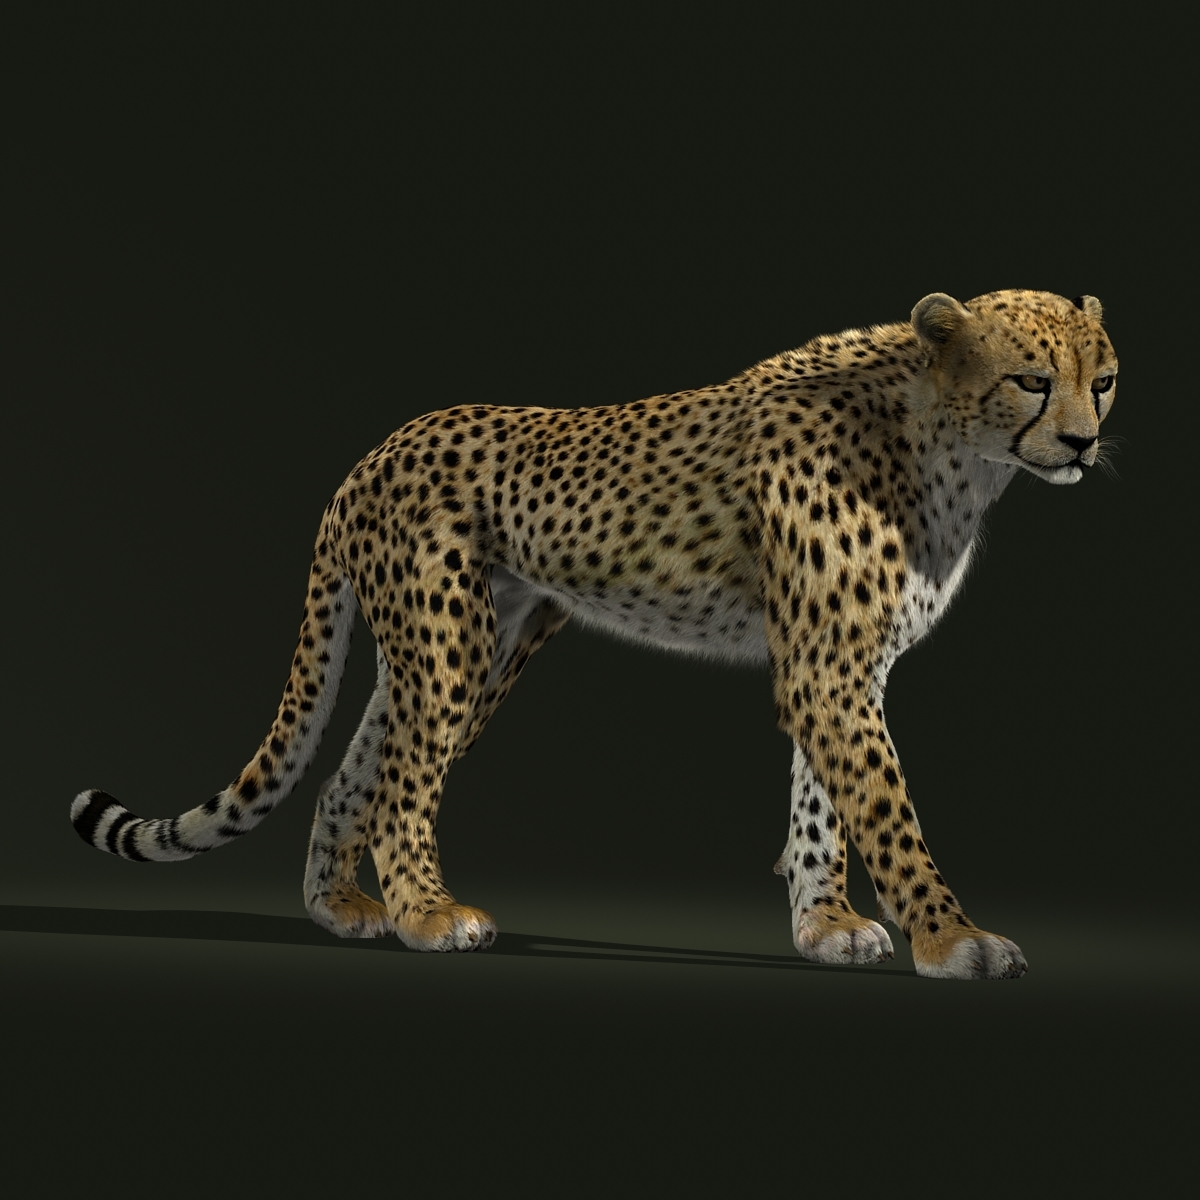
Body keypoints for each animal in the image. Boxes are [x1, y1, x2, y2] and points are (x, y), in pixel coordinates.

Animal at [70, 288, 1118, 979]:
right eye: (1032, 379)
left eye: (1103, 380)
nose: (1082, 442)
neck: (949, 444)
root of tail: (374, 451)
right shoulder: (828, 666)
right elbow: (885, 808)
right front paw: (952, 939)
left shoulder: (840, 664)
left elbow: (824, 805)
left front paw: (827, 928)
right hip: (450, 647)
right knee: (405, 783)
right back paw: (427, 915)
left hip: (472, 650)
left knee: (355, 771)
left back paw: (342, 909)